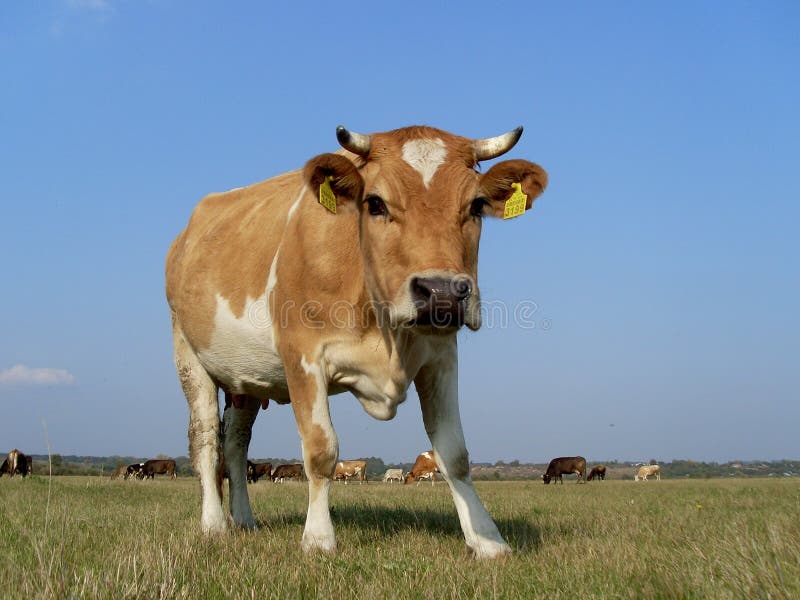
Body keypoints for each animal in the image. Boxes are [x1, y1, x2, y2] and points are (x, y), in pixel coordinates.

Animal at [166, 123, 547, 558]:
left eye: (478, 205)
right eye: (376, 203)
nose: (443, 292)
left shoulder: (440, 359)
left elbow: (455, 454)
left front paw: (487, 540)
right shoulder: (303, 357)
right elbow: (321, 450)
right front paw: (318, 538)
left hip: (245, 379)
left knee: (235, 443)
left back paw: (244, 520)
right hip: (188, 354)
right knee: (206, 439)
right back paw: (214, 524)